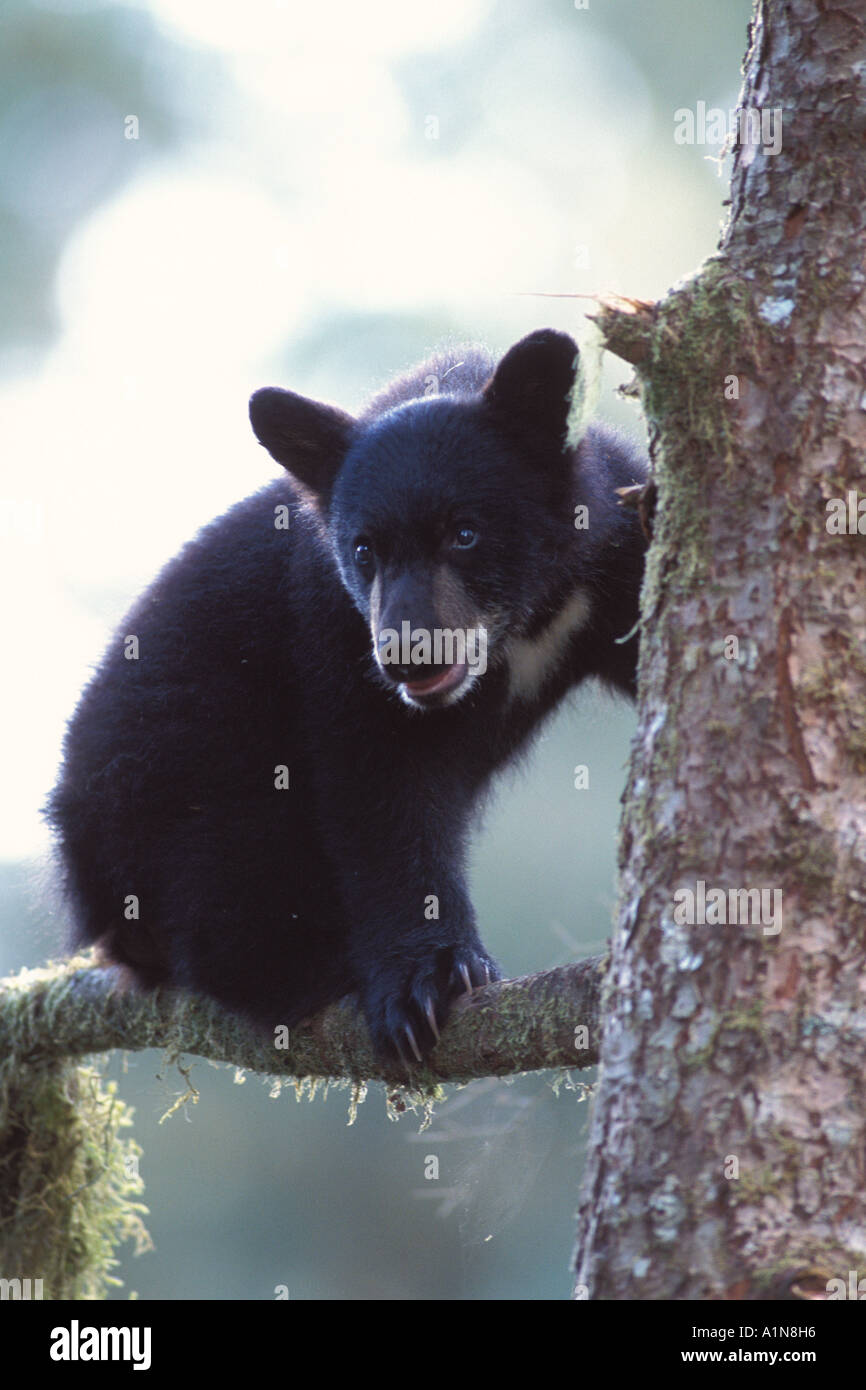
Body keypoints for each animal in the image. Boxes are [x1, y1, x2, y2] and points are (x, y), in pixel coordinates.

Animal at [46, 329, 648, 1066]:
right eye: (364, 550)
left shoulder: (618, 550)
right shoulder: (331, 628)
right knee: (224, 894)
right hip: (173, 796)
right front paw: (426, 983)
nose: (406, 657)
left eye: (464, 532)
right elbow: (379, 787)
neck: (530, 615)